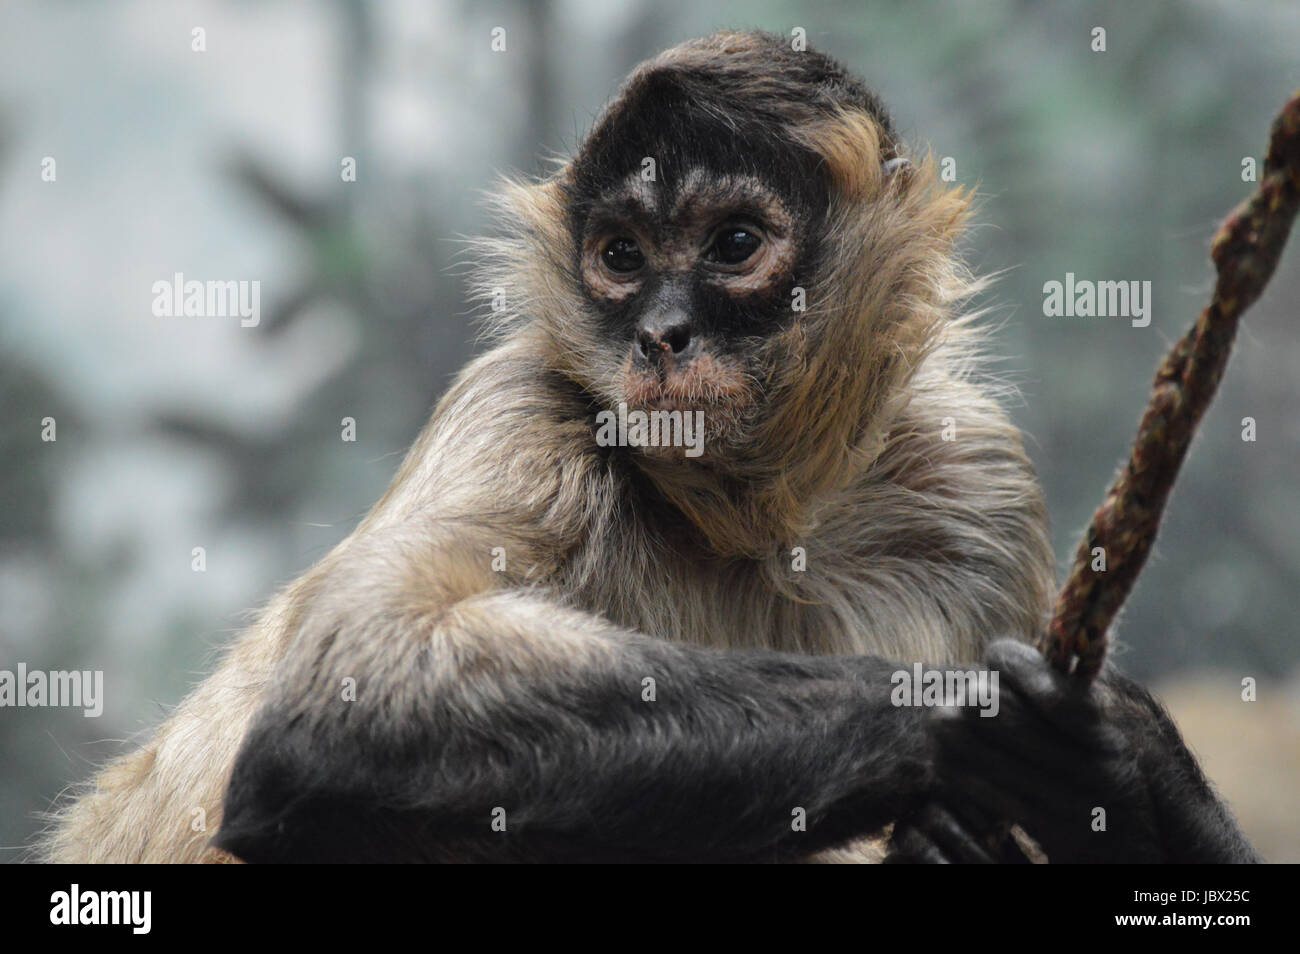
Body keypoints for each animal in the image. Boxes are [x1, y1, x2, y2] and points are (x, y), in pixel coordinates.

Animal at [42, 30, 1254, 864]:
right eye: (621, 256)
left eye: (733, 245)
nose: (661, 334)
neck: (765, 521)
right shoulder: (530, 404)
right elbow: (325, 722)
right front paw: (970, 725)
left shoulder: (977, 479)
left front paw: (1120, 761)